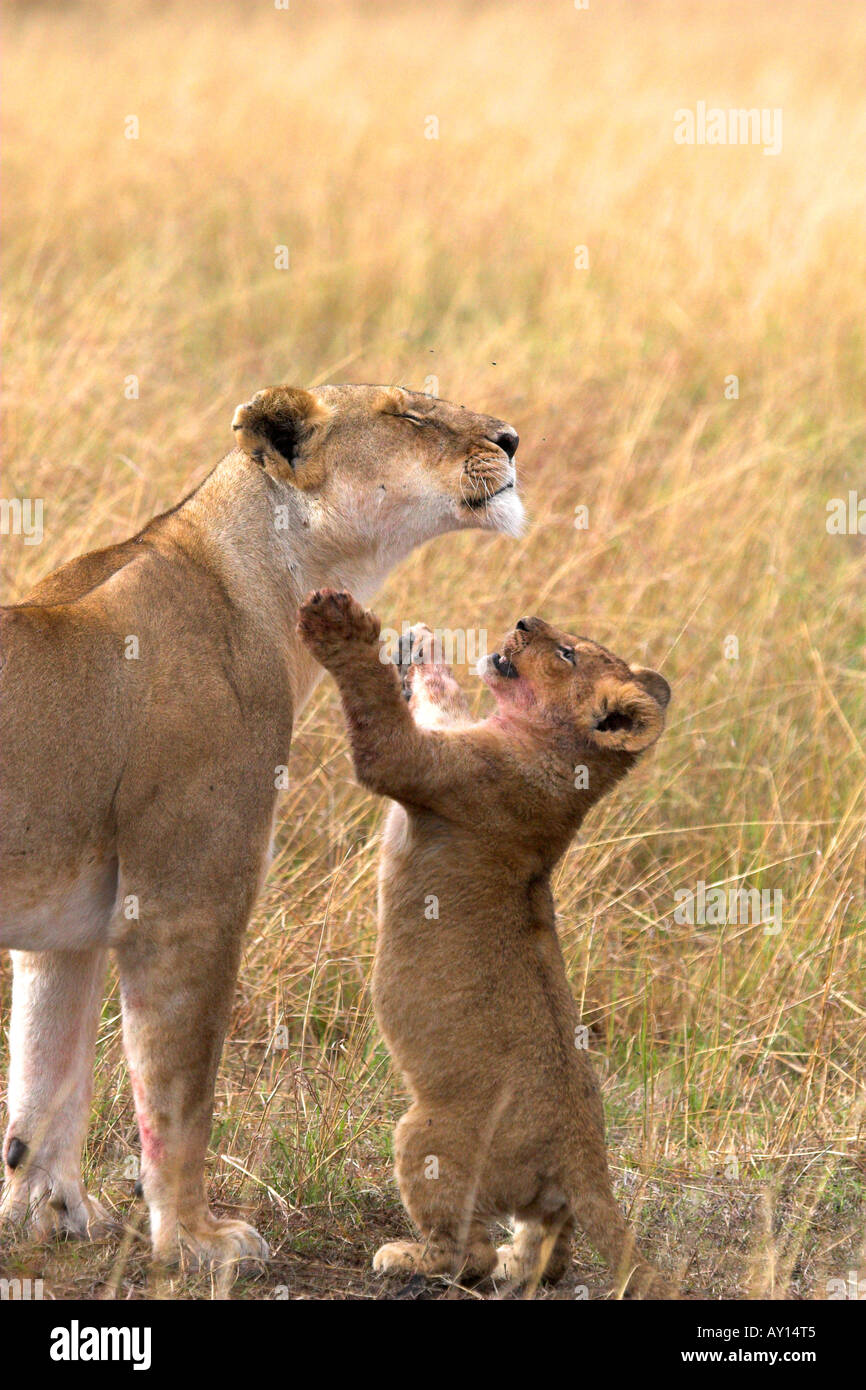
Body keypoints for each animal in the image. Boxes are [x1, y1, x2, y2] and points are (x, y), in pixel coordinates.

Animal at [0, 384, 522, 1267]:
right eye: (407, 414)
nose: (513, 439)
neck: (259, 586)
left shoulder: (64, 932)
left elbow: (45, 1082)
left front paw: (52, 1215)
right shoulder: (185, 909)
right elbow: (179, 1095)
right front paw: (196, 1240)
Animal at [297, 591, 672, 1297]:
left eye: (566, 653)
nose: (525, 622)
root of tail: (586, 1151)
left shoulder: (421, 766)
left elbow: (378, 712)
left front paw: (339, 624)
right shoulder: (449, 739)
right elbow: (439, 698)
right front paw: (423, 644)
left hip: (429, 1132)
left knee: (462, 1250)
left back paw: (409, 1258)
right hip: (543, 1199)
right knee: (550, 1243)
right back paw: (519, 1266)